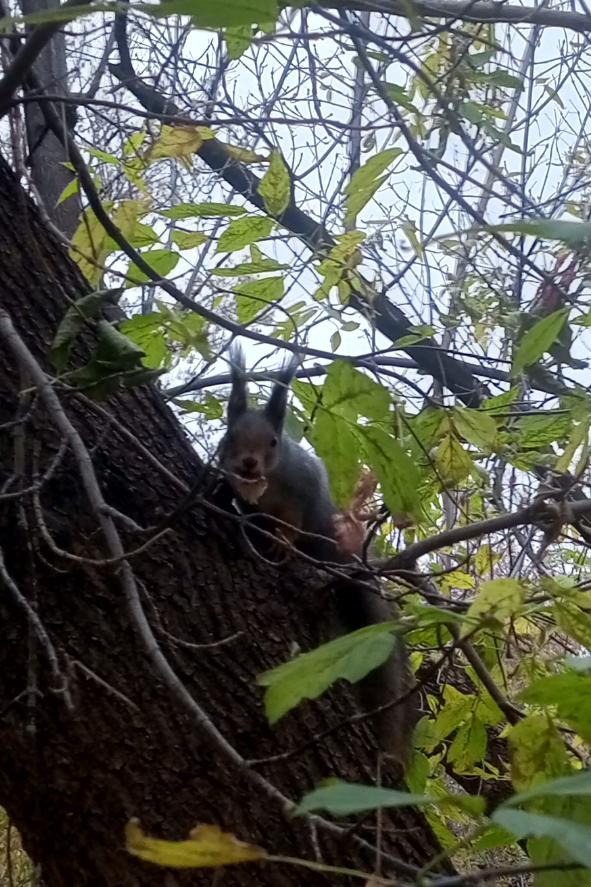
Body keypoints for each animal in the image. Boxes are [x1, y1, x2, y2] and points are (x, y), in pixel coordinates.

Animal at [220, 344, 419, 769]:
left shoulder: (302, 489)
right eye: (230, 435)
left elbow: (293, 520)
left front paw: (284, 541)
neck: (267, 485)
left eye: (274, 442)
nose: (248, 464)